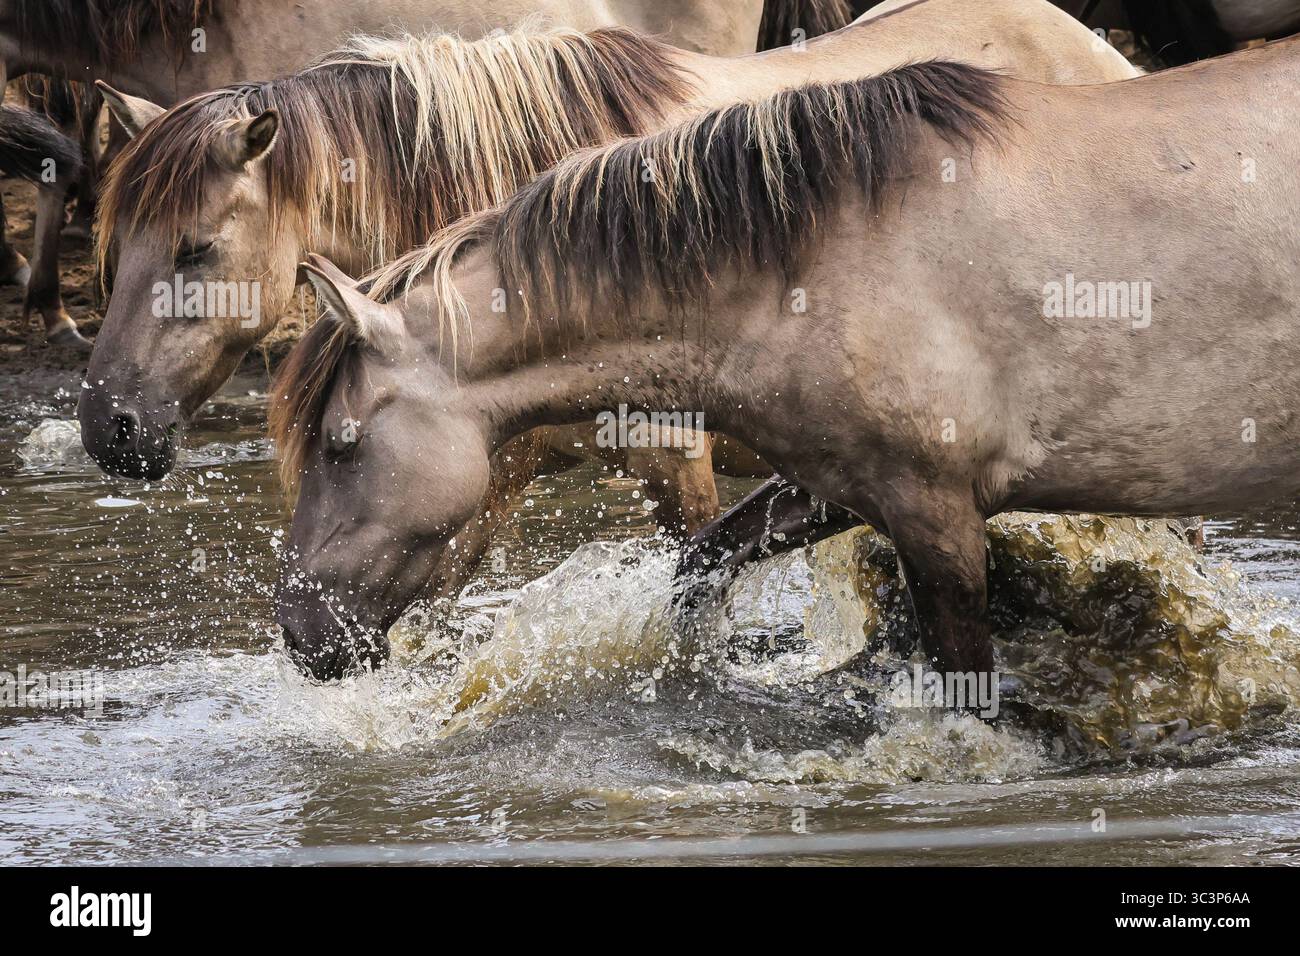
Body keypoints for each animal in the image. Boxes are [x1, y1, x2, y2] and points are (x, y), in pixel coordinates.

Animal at [270, 37, 1300, 684]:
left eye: (342, 444)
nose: (299, 628)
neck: (811, 259)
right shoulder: (845, 483)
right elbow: (699, 564)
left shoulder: (936, 513)